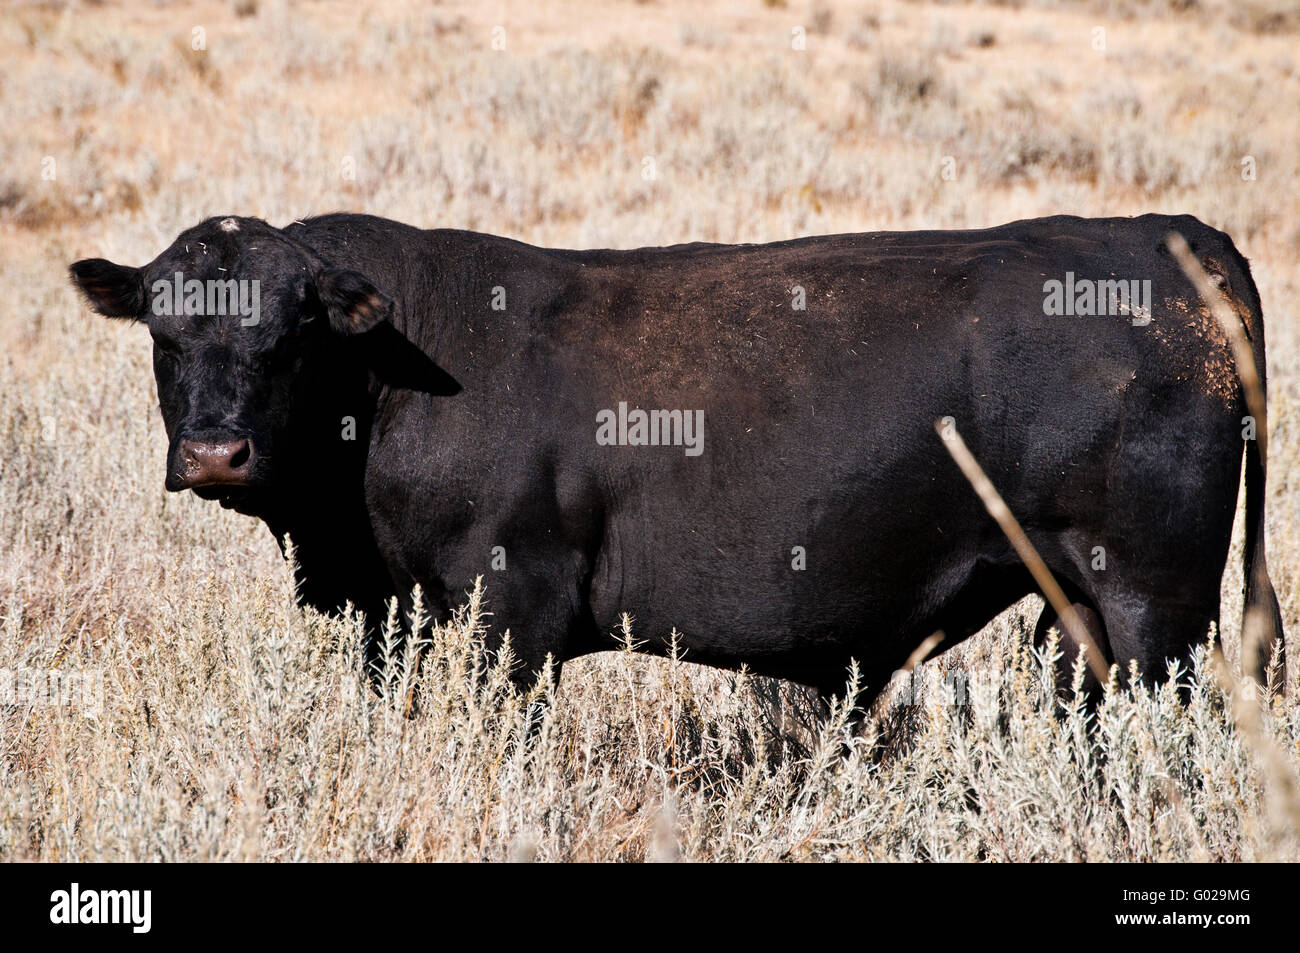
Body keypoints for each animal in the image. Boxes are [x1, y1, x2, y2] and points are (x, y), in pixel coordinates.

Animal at [70, 212, 1285, 703]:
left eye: (291, 335)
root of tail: (1163, 233)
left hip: (1157, 595)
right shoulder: (386, 609)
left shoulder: (510, 605)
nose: (215, 451)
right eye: (165, 334)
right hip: (1075, 605)